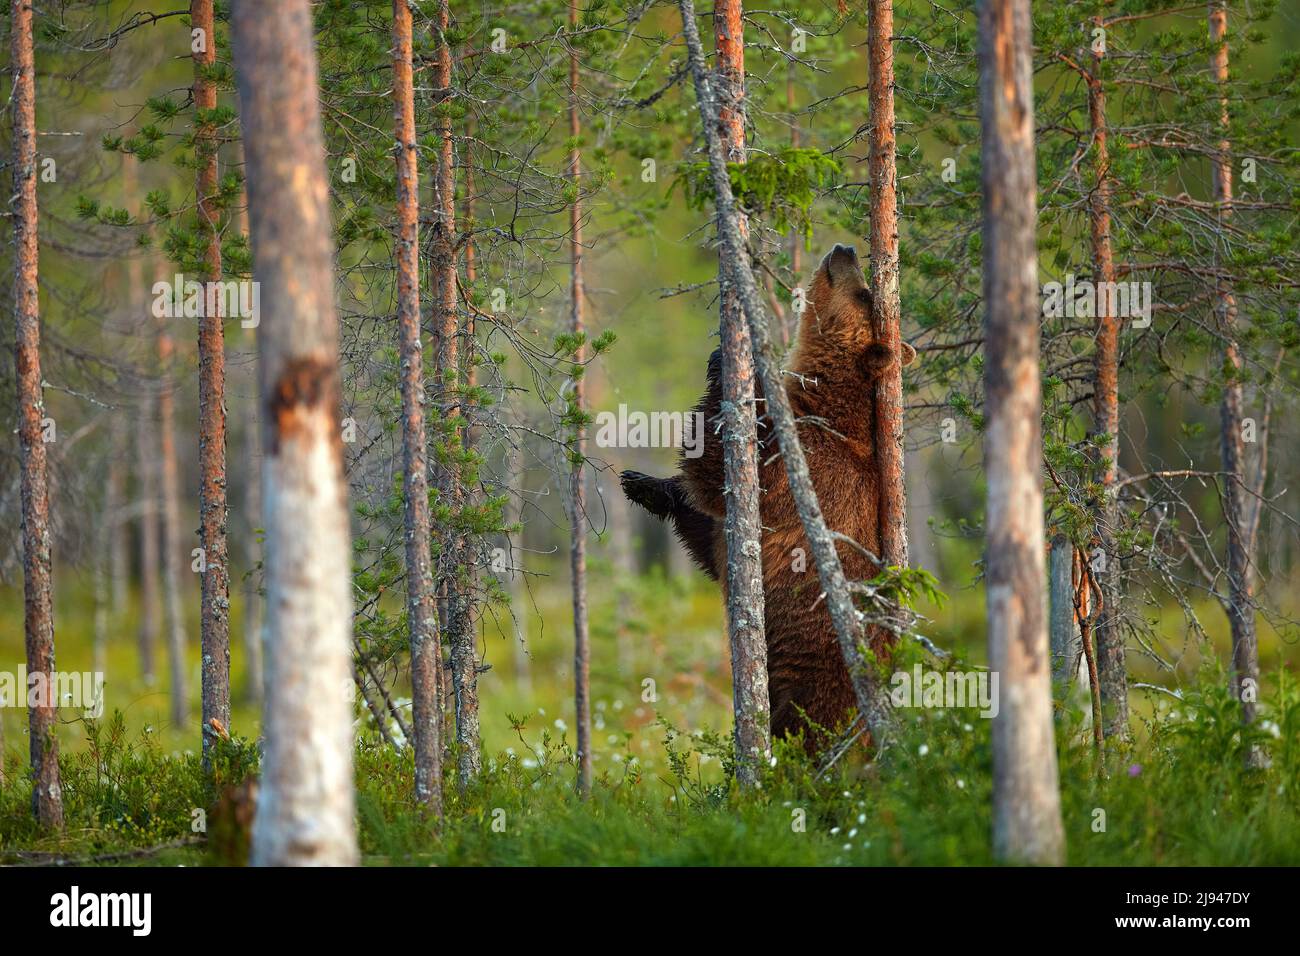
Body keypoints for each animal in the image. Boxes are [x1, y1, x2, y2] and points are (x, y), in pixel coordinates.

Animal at [621, 243, 915, 750]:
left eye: (863, 292)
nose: (845, 249)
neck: (825, 404)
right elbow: (709, 536)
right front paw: (640, 482)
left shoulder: (800, 468)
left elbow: (717, 473)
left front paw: (727, 366)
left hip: (815, 682)